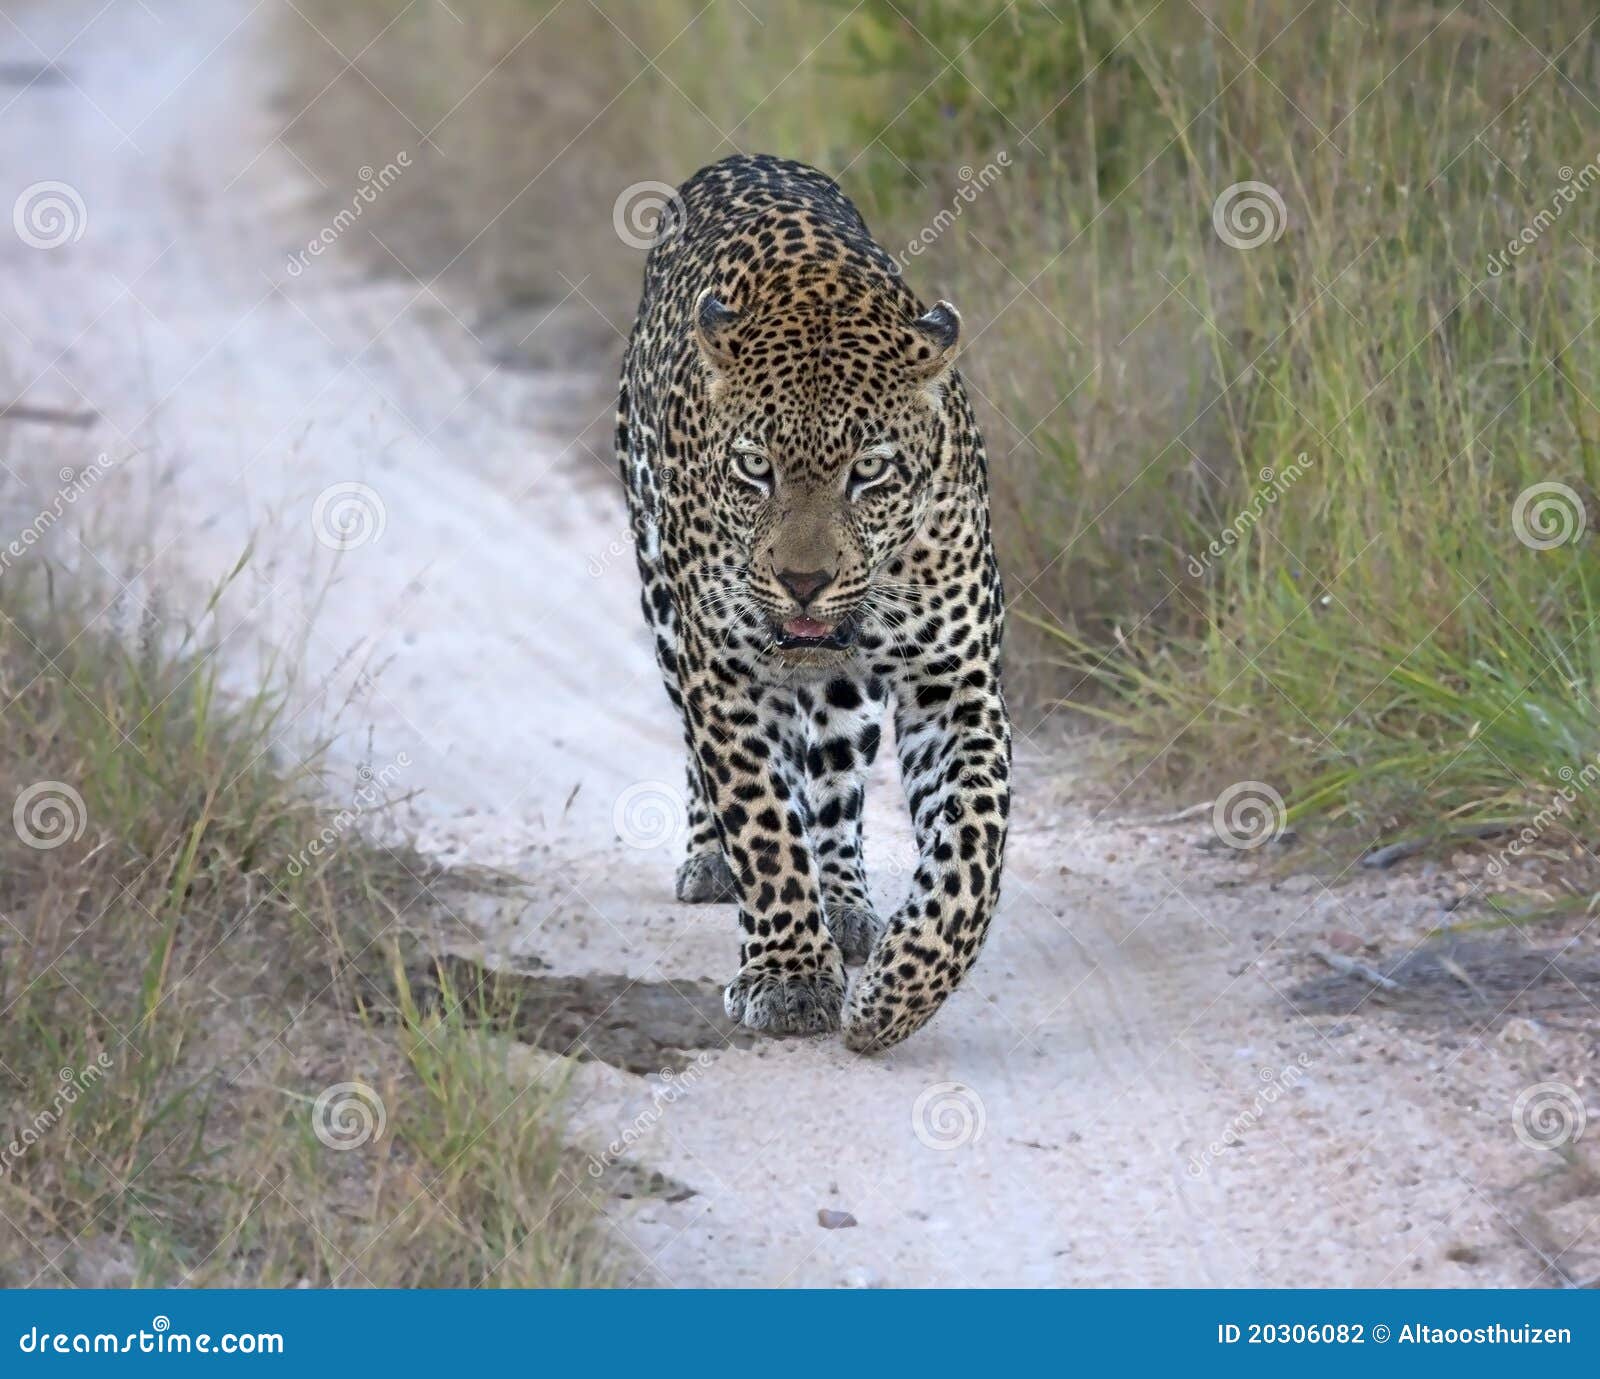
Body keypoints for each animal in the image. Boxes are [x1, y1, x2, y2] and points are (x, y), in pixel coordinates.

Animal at [616, 153, 1011, 1053]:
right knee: (712, 766)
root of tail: (747, 159)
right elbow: (763, 821)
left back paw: (848, 904)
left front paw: (900, 991)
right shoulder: (723, 675)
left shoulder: (956, 684)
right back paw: (713, 861)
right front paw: (791, 976)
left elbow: (973, 843)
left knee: (834, 788)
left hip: (847, 692)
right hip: (664, 609)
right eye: (755, 468)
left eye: (869, 472)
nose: (803, 582)